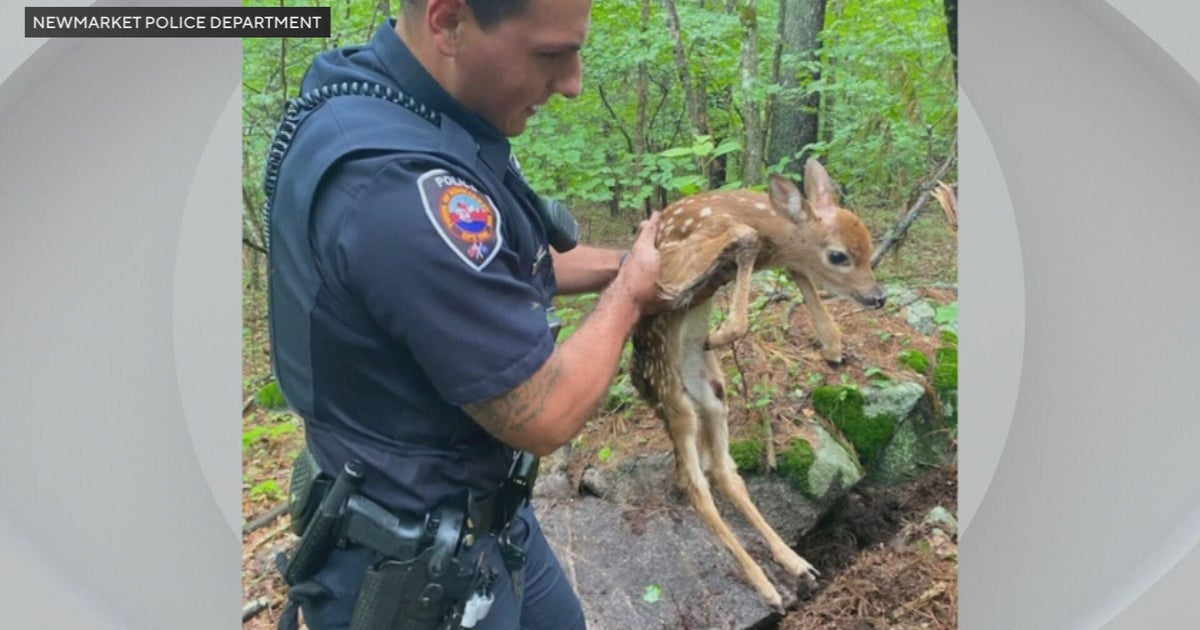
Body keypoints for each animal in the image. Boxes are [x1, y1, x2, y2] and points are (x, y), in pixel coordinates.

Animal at [630, 159, 886, 609]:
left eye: (870, 247)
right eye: (838, 255)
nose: (877, 297)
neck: (764, 218)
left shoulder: (783, 259)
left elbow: (797, 271)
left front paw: (833, 345)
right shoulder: (695, 247)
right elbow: (744, 240)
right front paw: (721, 331)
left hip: (710, 390)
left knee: (722, 469)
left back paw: (796, 563)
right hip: (671, 394)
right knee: (692, 482)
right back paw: (767, 588)